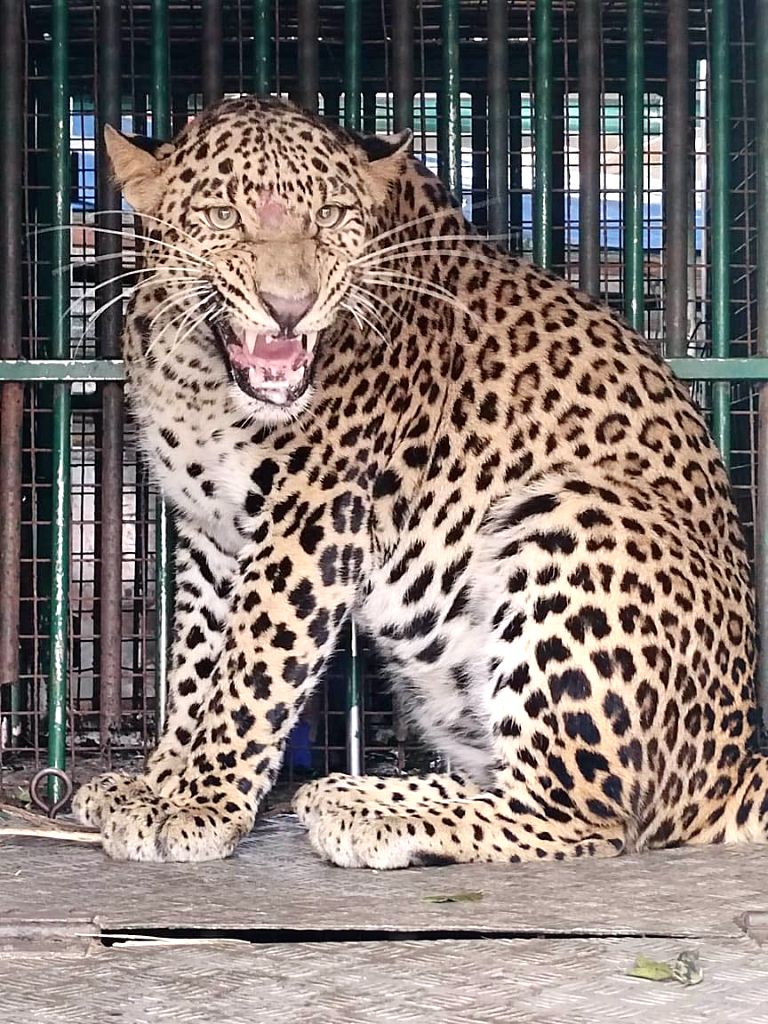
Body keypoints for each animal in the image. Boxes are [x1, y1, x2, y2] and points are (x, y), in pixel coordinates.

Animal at [72, 94, 764, 870]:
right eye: (223, 216)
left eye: (332, 215)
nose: (289, 306)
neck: (197, 372)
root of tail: (732, 761)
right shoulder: (214, 533)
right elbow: (196, 665)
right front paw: (158, 783)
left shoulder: (312, 520)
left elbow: (252, 670)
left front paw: (199, 804)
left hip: (570, 516)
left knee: (584, 814)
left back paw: (363, 809)